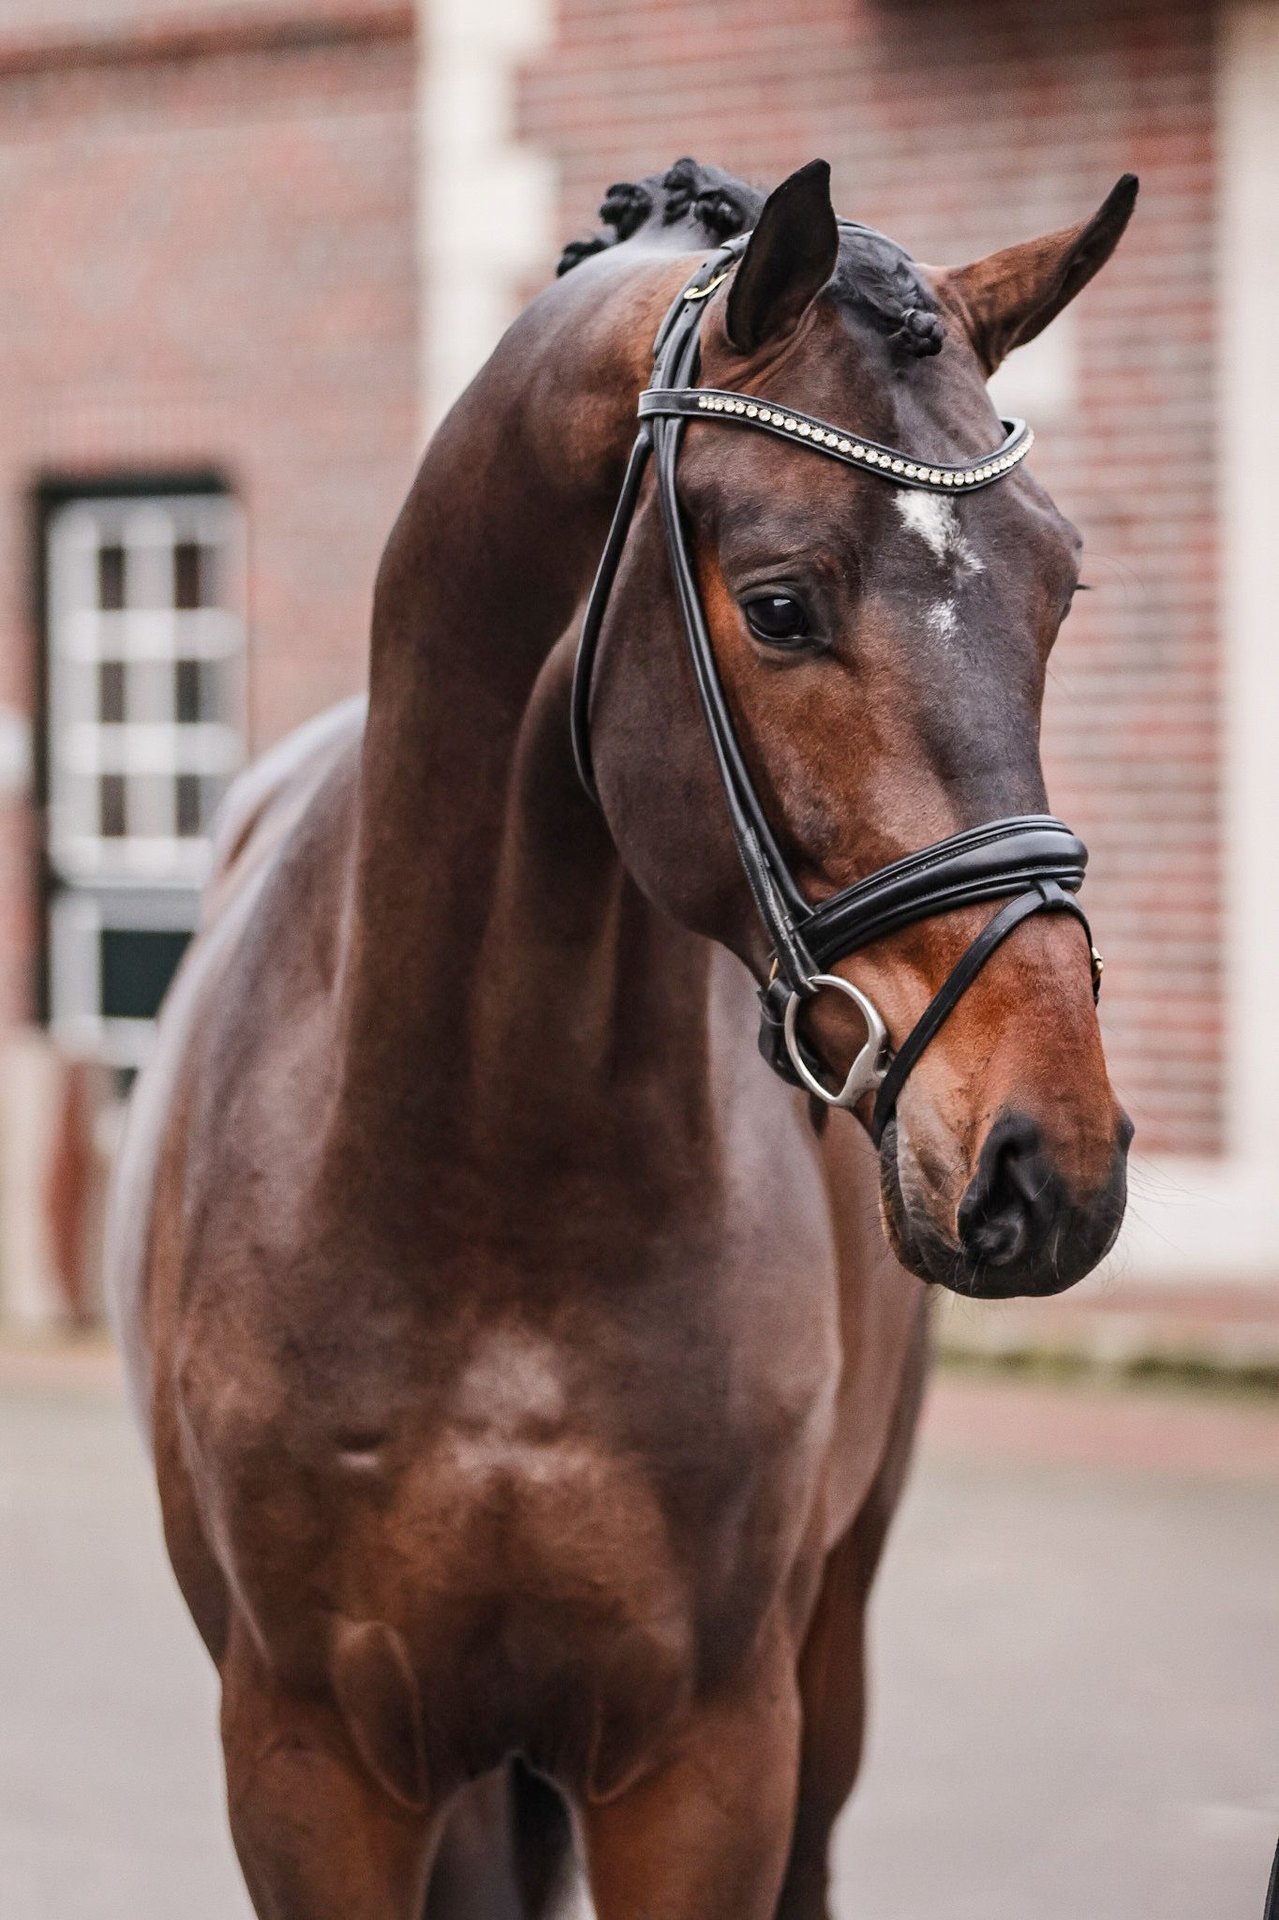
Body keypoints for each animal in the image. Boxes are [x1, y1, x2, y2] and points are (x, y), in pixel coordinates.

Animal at [108, 156, 1135, 1920]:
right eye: (779, 605)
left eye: (1055, 585)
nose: (1046, 1157)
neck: (485, 1191)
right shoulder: (310, 1768)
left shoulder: (706, 1762)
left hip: (826, 1657)